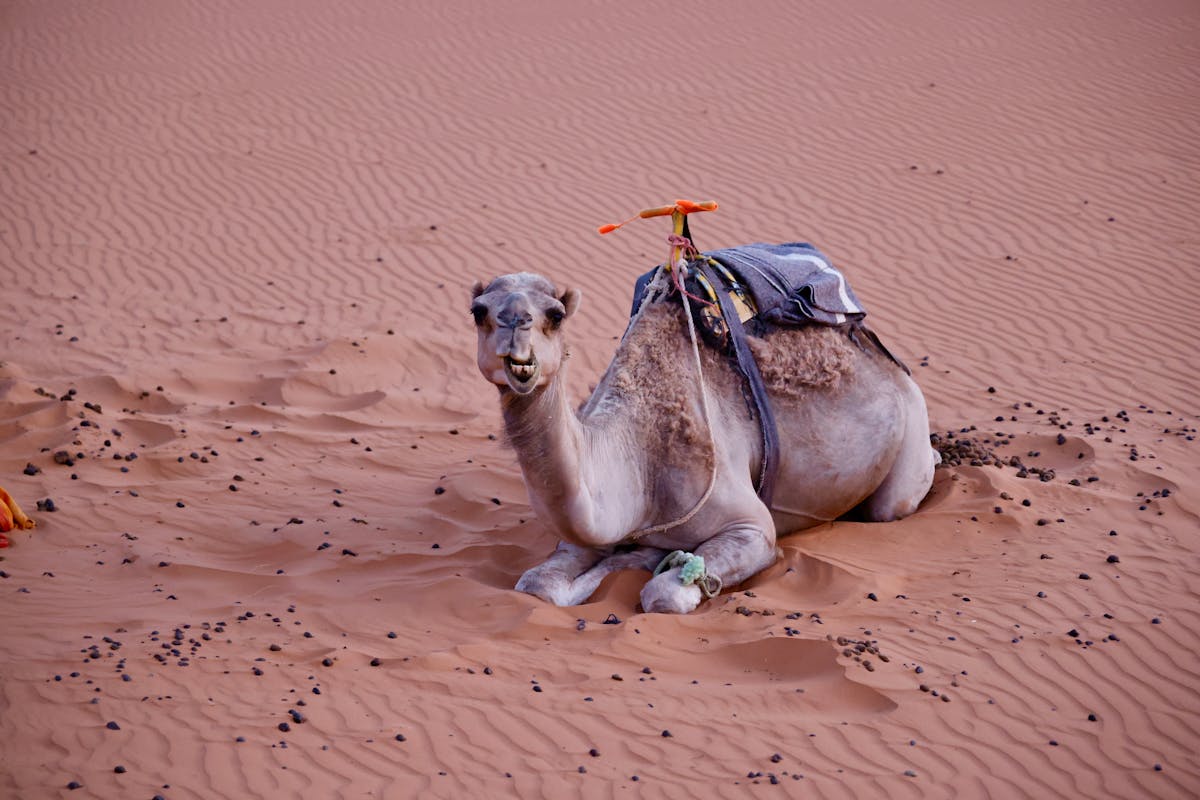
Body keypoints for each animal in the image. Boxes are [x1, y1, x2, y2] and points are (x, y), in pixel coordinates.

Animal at [470, 268, 937, 614]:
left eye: (555, 314)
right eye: (478, 311)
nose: (516, 325)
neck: (640, 463)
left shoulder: (750, 526)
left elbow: (663, 594)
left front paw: (641, 561)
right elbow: (537, 583)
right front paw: (631, 557)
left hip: (910, 426)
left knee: (892, 502)